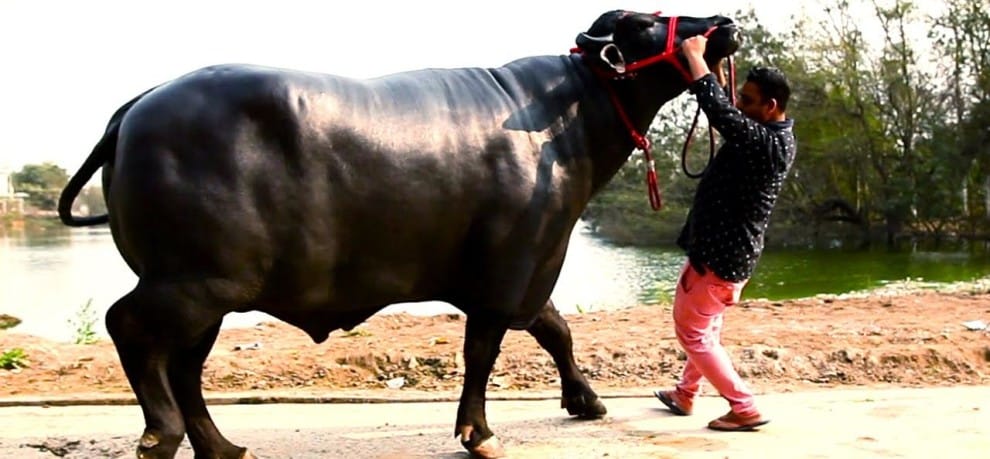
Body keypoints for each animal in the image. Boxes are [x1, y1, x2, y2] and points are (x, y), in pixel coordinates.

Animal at [58, 9, 739, 459]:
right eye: (647, 22)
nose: (725, 21)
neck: (559, 121)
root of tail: (135, 109)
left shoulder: (530, 271)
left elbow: (555, 329)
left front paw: (588, 402)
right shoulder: (510, 269)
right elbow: (484, 351)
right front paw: (479, 433)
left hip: (208, 291)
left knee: (185, 364)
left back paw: (222, 447)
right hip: (193, 280)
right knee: (130, 327)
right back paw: (160, 434)